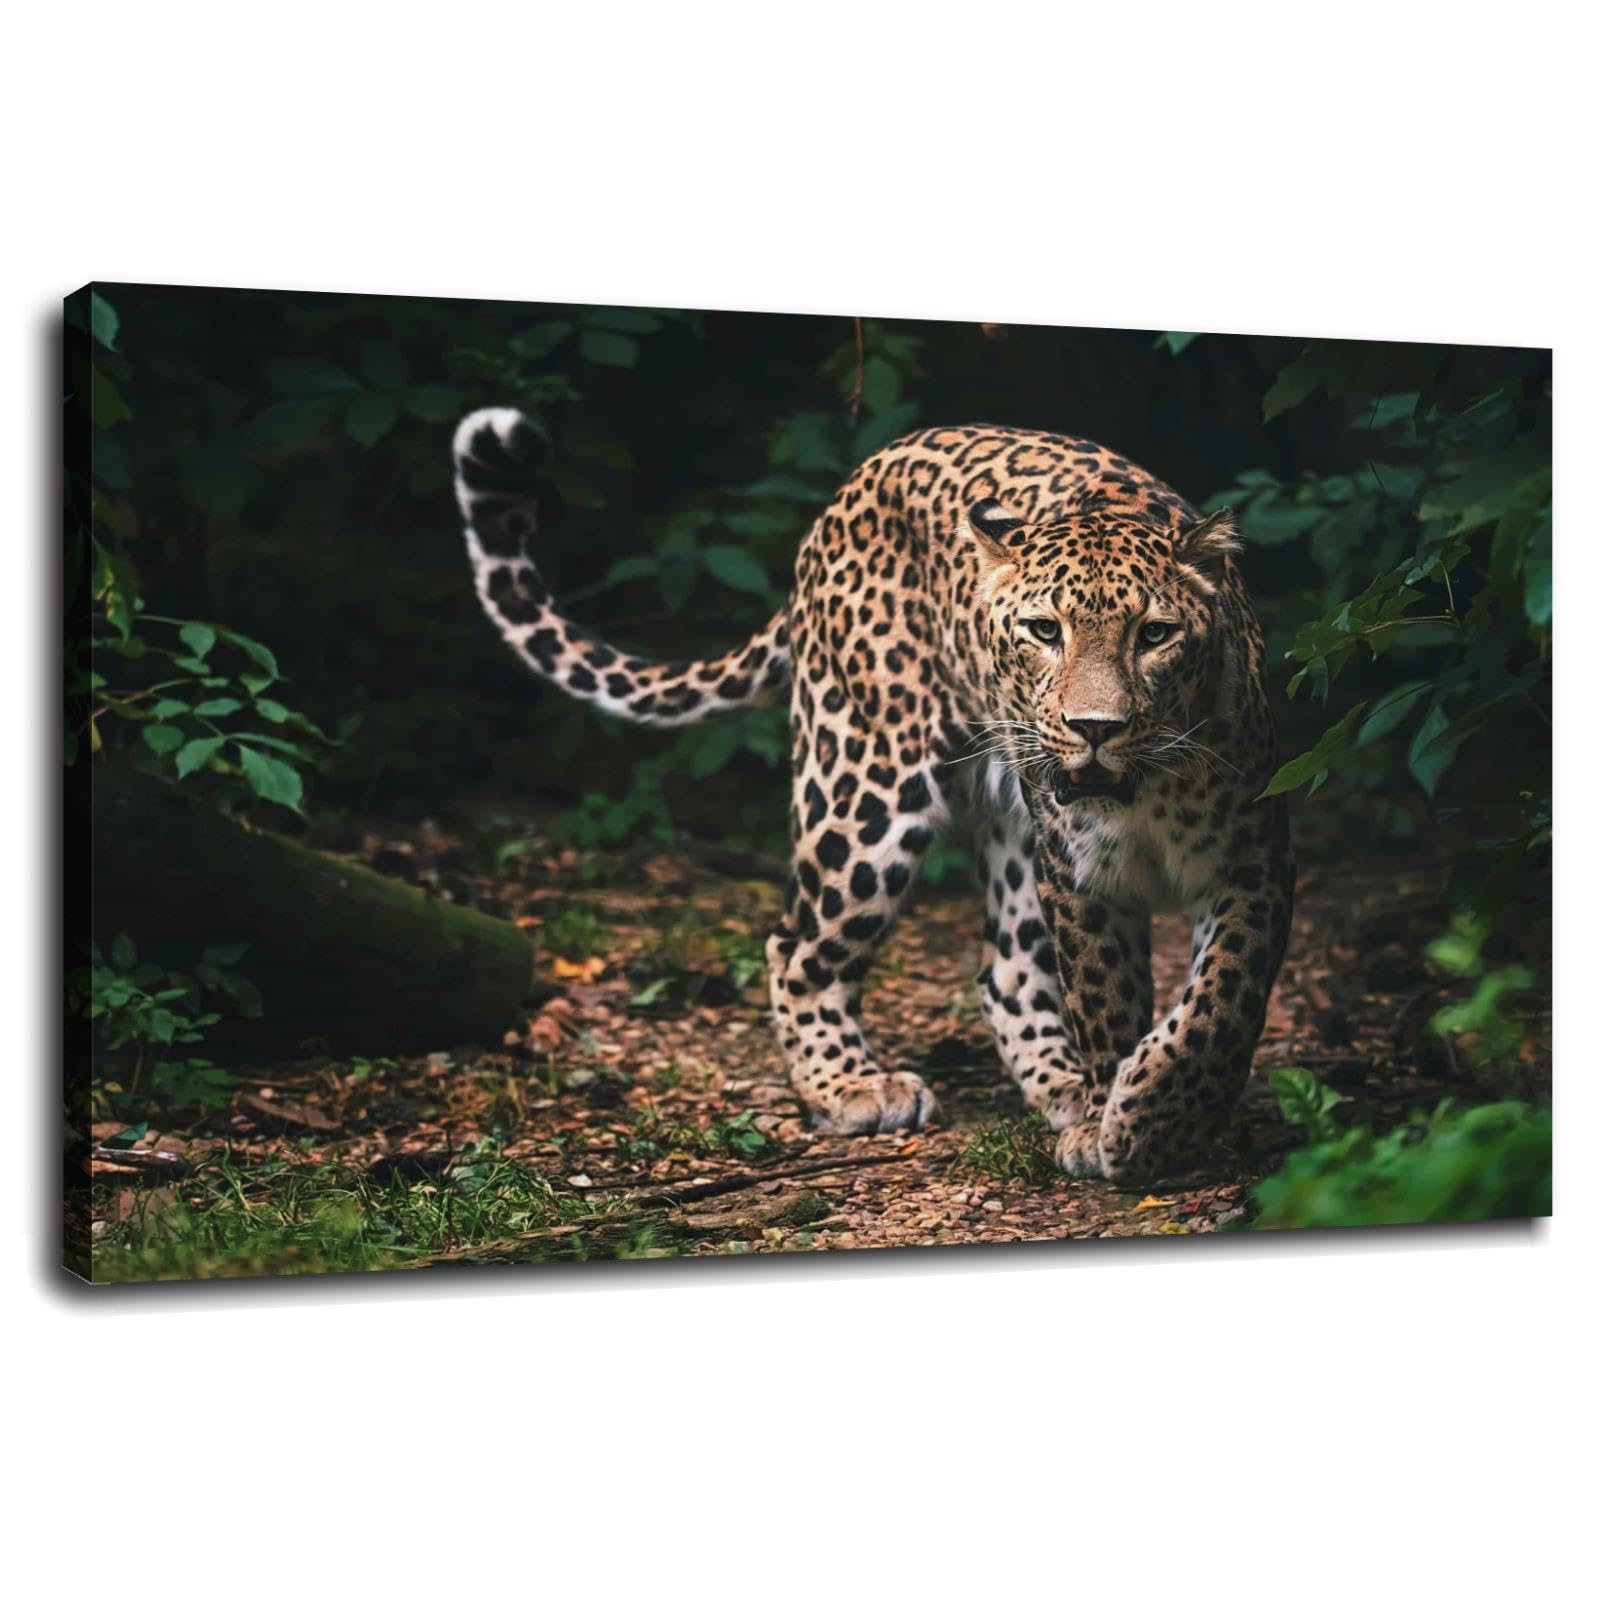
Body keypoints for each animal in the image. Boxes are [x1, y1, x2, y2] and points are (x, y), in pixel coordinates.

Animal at [454, 407, 1294, 1181]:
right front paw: (1122, 1123)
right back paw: (851, 1087)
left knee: (1005, 970)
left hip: (1005, 824)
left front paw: (1153, 1116)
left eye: (1155, 635)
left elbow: (1221, 1003)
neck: (1144, 791)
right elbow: (1106, 999)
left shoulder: (1252, 859)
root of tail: (851, 486)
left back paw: (1058, 1089)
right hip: (866, 784)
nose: (1095, 728)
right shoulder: (1079, 874)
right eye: (1043, 630)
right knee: (797, 944)